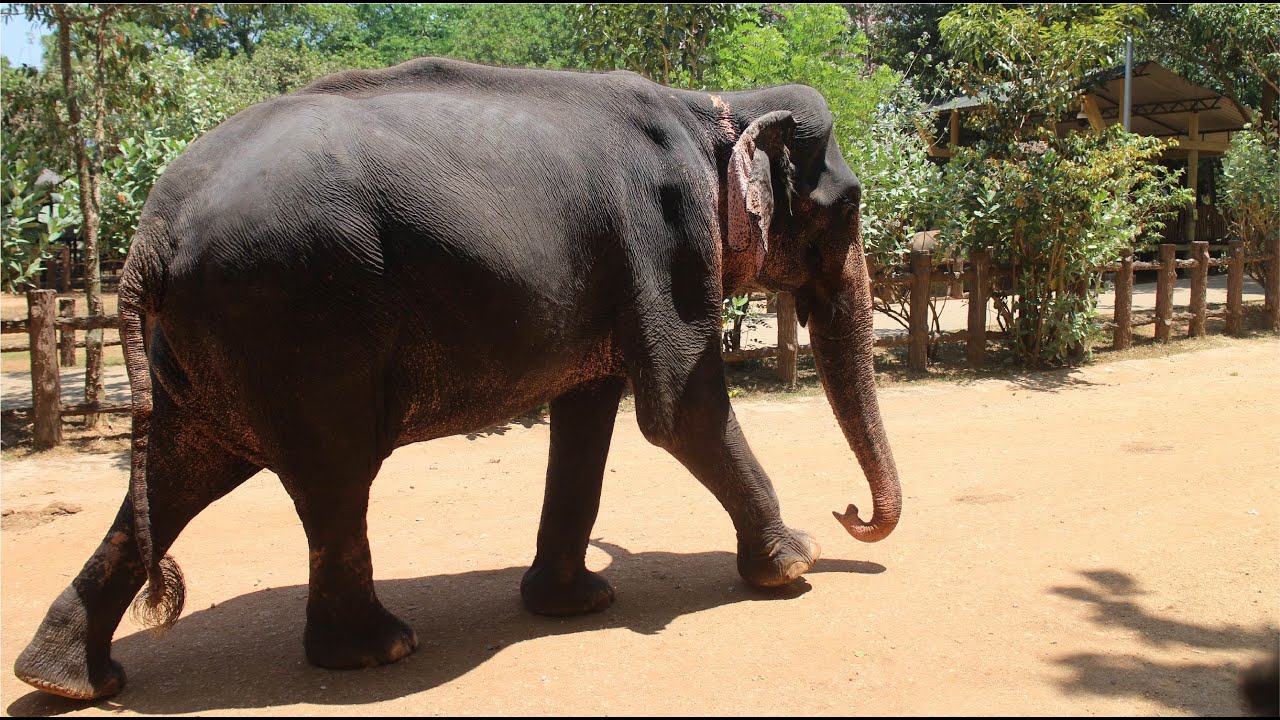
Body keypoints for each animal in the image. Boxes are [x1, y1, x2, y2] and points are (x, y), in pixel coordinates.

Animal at [15, 57, 903, 700]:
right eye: (847, 207)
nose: (850, 512)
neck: (716, 105)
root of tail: (151, 230)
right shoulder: (669, 239)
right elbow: (677, 411)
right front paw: (795, 565)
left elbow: (589, 417)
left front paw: (575, 603)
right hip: (296, 313)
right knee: (332, 475)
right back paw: (378, 650)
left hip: (215, 336)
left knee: (182, 469)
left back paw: (64, 681)